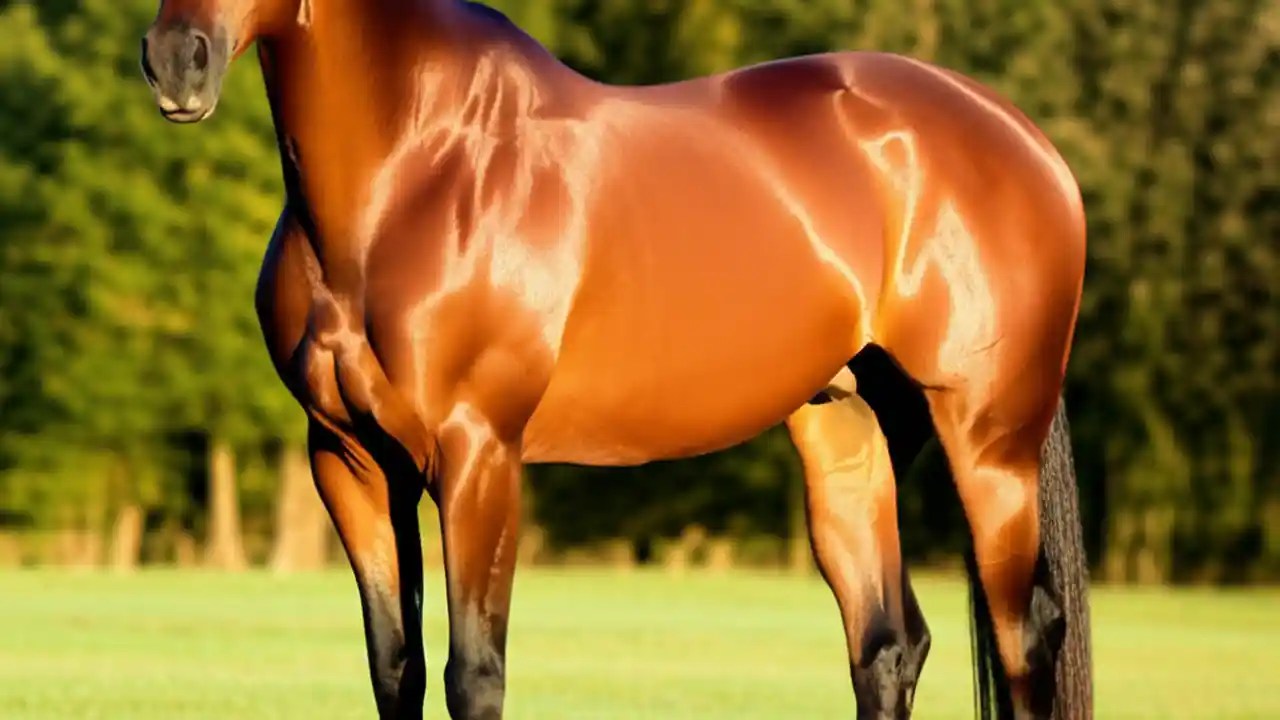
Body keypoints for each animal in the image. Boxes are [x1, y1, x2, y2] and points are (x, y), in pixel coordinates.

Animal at [139, 1, 1093, 718]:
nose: (176, 61)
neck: (418, 169)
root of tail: (1020, 136)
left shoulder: (478, 455)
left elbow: (473, 674)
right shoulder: (350, 460)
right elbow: (396, 669)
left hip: (989, 440)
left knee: (1023, 638)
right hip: (851, 436)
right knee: (888, 645)